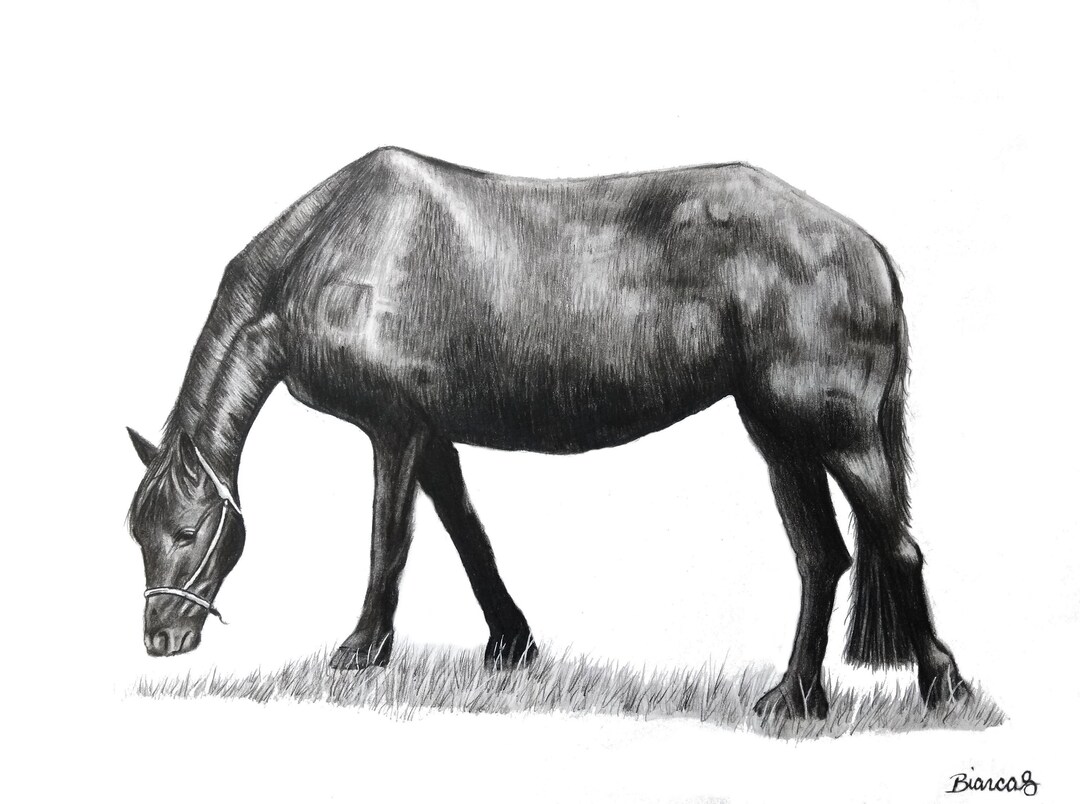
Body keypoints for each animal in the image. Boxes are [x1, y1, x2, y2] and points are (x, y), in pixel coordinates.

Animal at [126, 146, 967, 719]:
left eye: (191, 530)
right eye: (138, 531)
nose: (160, 639)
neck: (337, 254)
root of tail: (866, 249)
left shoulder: (393, 429)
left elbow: (389, 541)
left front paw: (361, 652)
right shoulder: (432, 435)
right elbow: (468, 534)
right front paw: (512, 645)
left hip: (838, 437)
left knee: (896, 549)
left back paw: (942, 685)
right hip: (781, 438)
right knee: (823, 560)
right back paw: (793, 699)